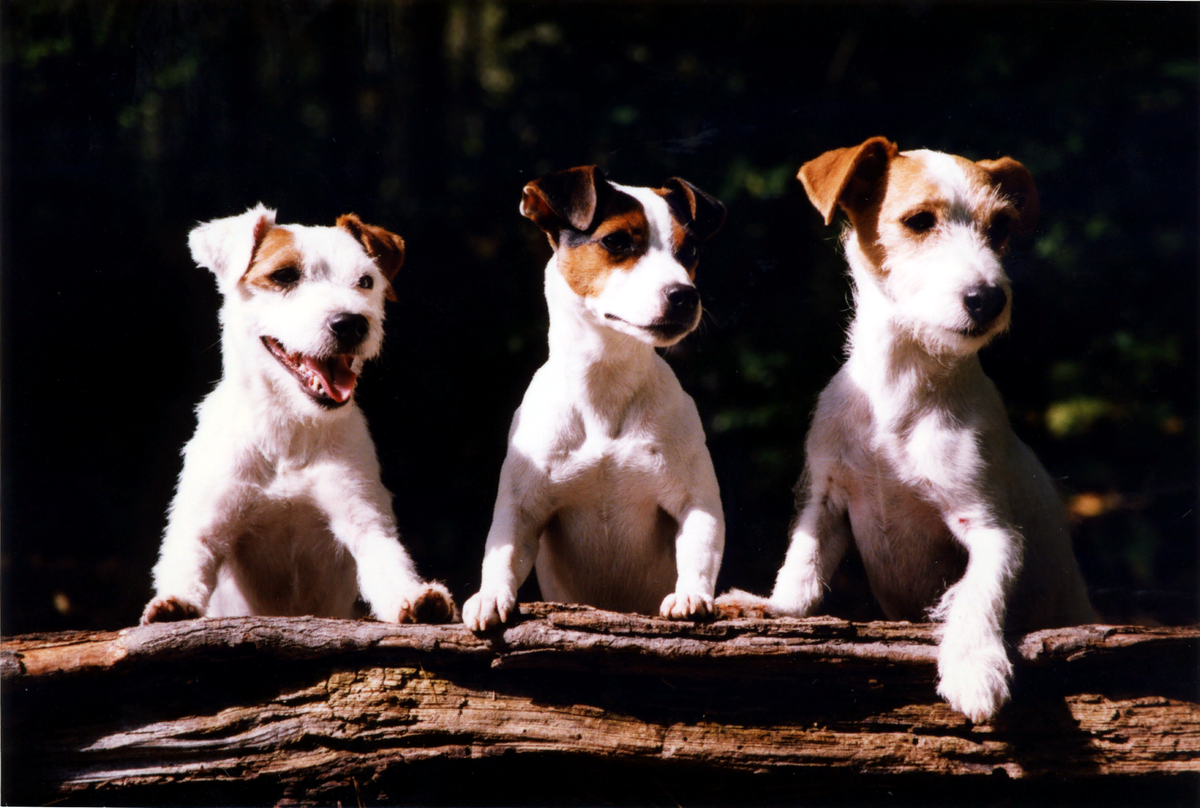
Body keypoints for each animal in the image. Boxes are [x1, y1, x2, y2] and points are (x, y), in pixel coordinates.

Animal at [140, 205, 456, 629]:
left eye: (366, 280)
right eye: (284, 275)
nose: (352, 323)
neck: (288, 430)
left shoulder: (363, 518)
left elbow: (388, 564)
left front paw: (417, 597)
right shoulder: (206, 524)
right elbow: (189, 563)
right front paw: (174, 602)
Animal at [460, 165, 724, 629]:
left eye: (690, 249)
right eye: (616, 241)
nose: (684, 295)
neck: (605, 384)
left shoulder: (697, 501)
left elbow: (699, 546)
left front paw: (691, 594)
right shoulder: (522, 511)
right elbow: (503, 553)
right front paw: (490, 596)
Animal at [720, 136, 1099, 720]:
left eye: (1000, 228)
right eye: (919, 221)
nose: (989, 299)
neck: (900, 388)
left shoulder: (991, 529)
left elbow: (977, 593)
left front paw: (972, 664)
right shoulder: (825, 500)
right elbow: (801, 573)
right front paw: (765, 606)